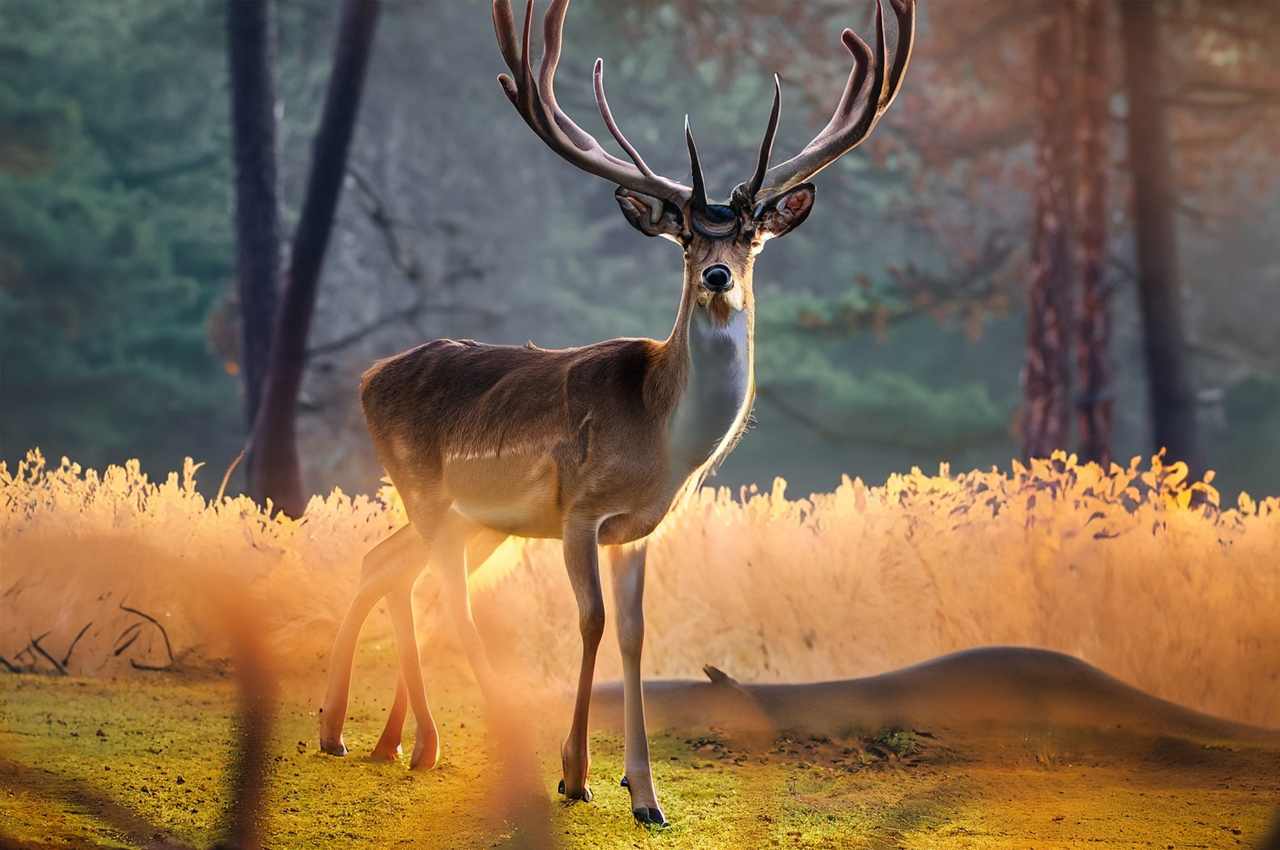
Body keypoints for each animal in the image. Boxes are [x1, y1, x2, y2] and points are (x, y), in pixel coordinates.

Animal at [318, 0, 914, 826]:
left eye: (752, 234)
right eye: (688, 236)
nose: (720, 274)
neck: (661, 443)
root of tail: (370, 378)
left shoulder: (637, 530)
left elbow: (634, 632)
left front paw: (645, 793)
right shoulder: (578, 510)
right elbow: (592, 622)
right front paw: (575, 774)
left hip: (475, 520)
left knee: (387, 566)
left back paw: (366, 737)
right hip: (426, 490)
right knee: (448, 600)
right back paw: (439, 743)